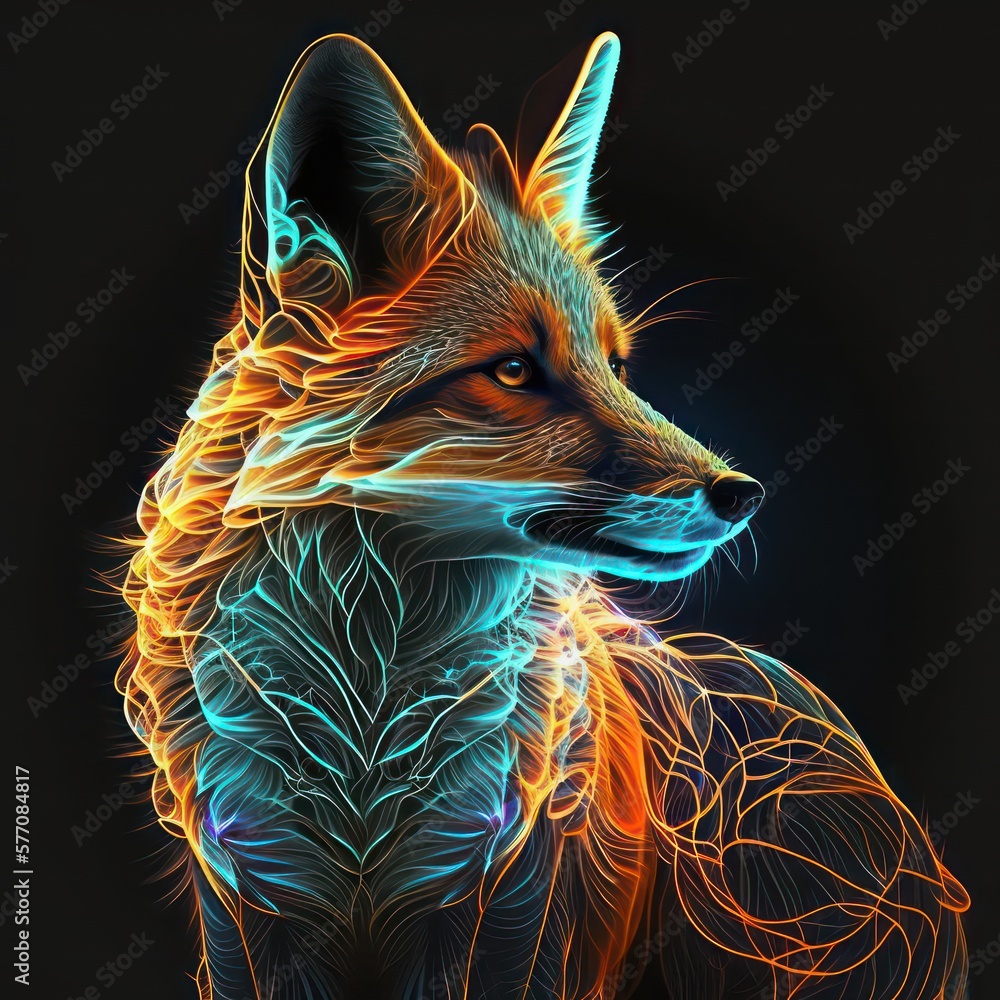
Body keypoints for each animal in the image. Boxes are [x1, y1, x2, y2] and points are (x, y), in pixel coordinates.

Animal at [118, 31, 969, 1000]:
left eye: (615, 365)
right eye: (515, 370)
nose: (742, 494)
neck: (369, 735)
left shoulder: (512, 908)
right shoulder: (248, 895)